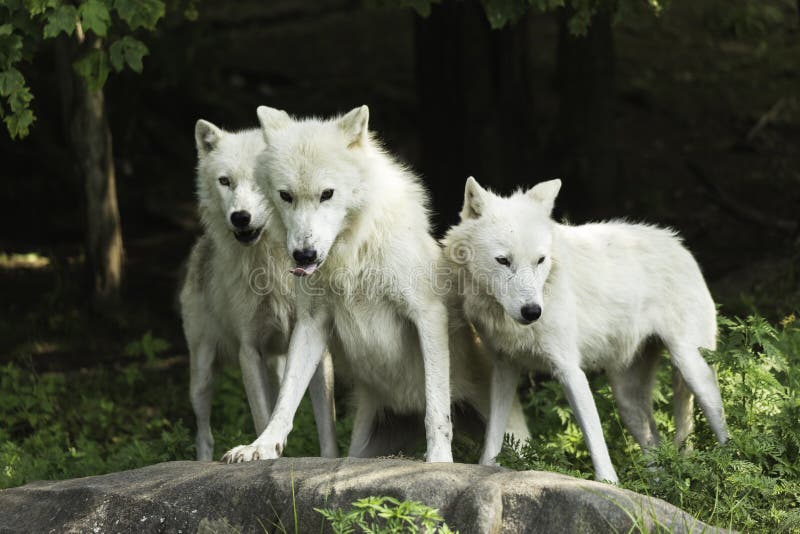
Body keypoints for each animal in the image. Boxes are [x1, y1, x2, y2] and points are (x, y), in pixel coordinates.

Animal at [179, 120, 337, 461]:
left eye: (261, 182)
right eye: (225, 181)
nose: (240, 217)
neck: (270, 266)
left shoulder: (315, 344)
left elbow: (325, 426)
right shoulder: (248, 349)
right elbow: (263, 417)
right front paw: (259, 453)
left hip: (277, 362)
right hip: (202, 375)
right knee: (203, 433)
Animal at [221, 105, 530, 463]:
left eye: (327, 194)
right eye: (286, 196)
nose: (303, 255)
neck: (352, 253)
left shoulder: (427, 315)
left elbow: (437, 407)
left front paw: (439, 460)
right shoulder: (311, 323)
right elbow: (286, 398)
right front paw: (261, 446)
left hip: (512, 437)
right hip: (363, 445)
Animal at [442, 177, 728, 482]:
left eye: (540, 260)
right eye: (503, 260)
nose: (533, 311)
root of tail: (680, 245)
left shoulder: (570, 370)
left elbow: (595, 438)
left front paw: (607, 483)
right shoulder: (504, 368)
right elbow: (494, 434)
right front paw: (486, 468)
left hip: (693, 370)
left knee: (722, 430)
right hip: (627, 400)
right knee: (656, 445)